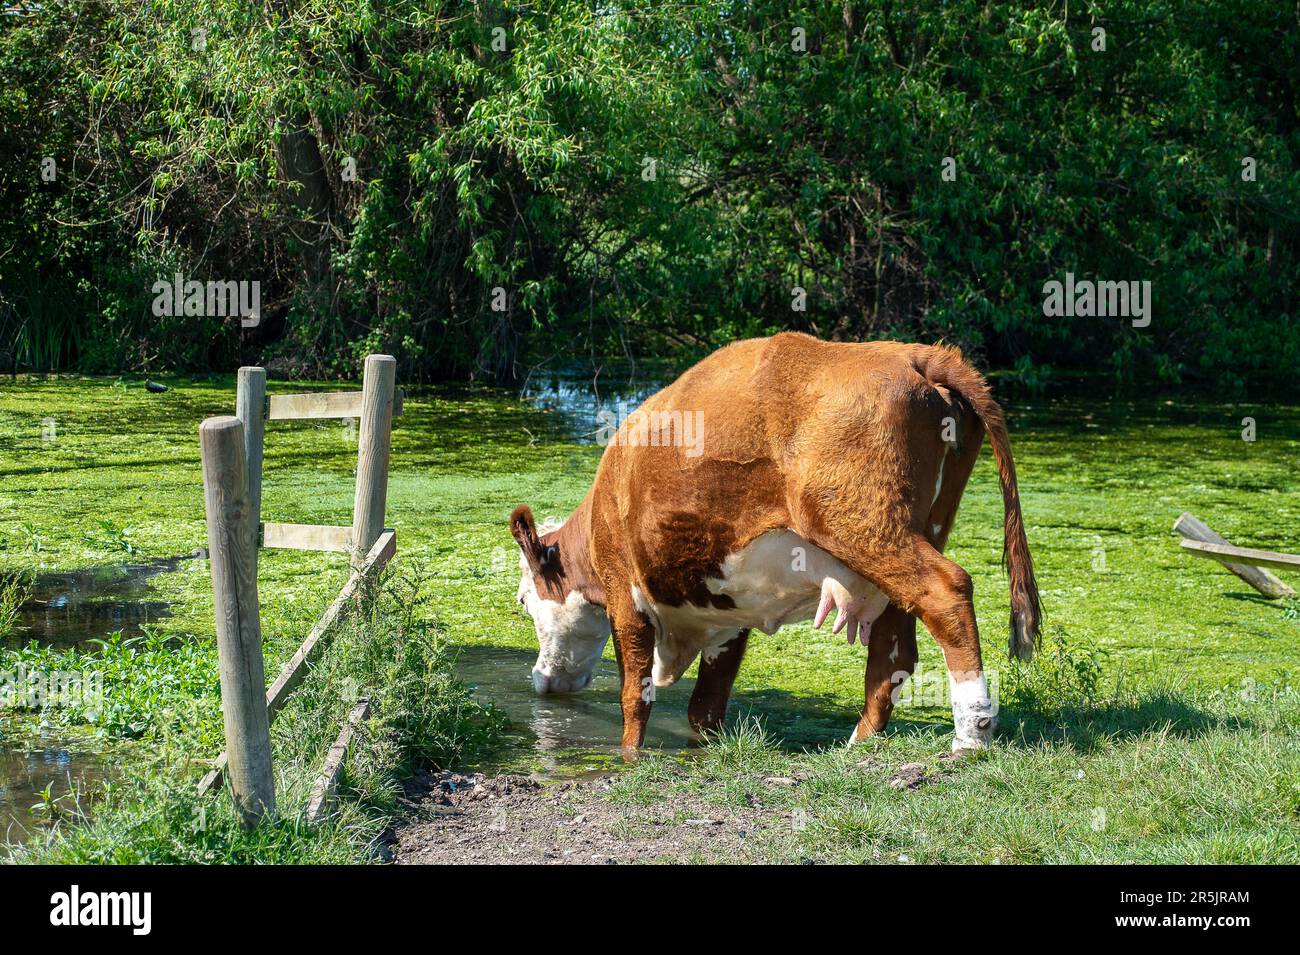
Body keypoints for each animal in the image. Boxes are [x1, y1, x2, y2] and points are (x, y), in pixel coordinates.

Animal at [511, 333, 1041, 757]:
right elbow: (705, 707)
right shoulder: (725, 613)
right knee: (895, 649)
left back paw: (971, 734)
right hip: (917, 534)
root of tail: (911, 353)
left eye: (524, 600)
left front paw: (628, 757)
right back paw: (857, 744)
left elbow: (633, 697)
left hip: (866, 529)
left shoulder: (626, 593)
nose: (541, 680)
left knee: (947, 591)